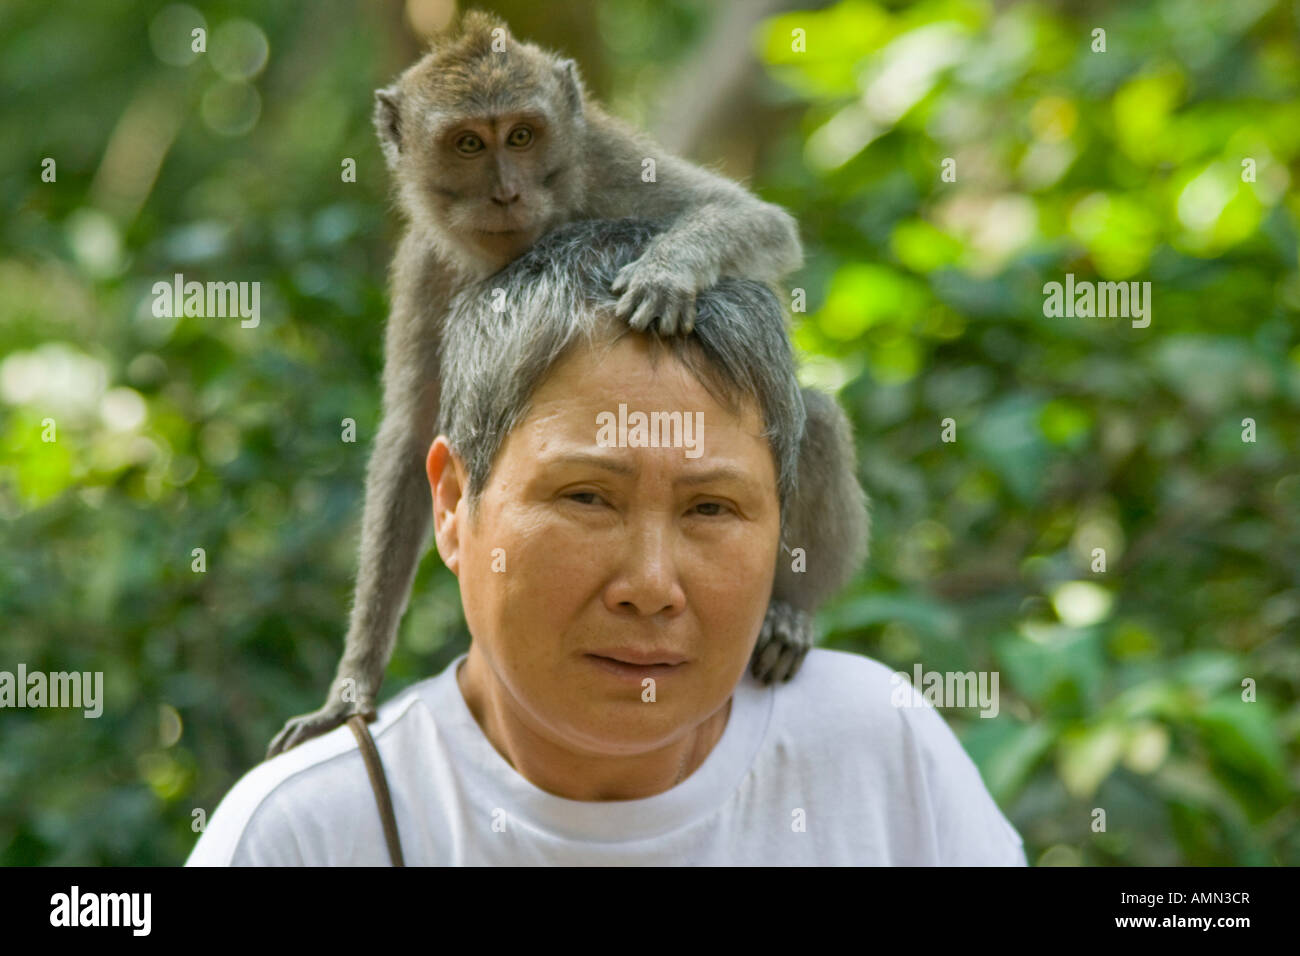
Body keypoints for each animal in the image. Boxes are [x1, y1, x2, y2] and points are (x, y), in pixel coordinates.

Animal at [267, 10, 869, 758]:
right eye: (469, 144)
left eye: (523, 136)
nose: (506, 191)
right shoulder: (425, 267)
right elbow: (409, 445)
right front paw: (350, 688)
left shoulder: (609, 162)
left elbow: (758, 222)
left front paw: (666, 272)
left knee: (817, 421)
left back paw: (788, 612)